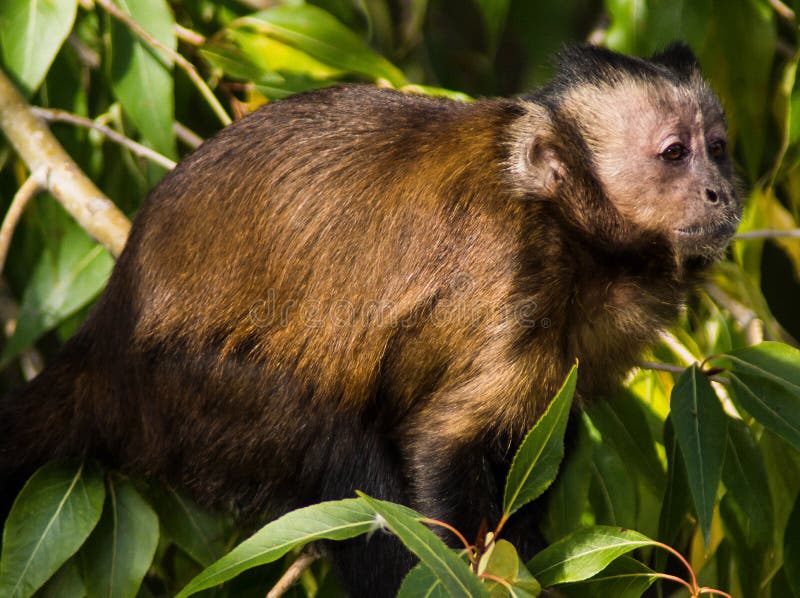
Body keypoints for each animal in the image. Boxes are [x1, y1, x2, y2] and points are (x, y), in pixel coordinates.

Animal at [0, 43, 739, 596]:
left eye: (719, 147)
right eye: (674, 153)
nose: (720, 192)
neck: (568, 223)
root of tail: (105, 337)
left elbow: (544, 435)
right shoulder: (511, 276)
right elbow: (443, 445)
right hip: (184, 389)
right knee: (333, 447)